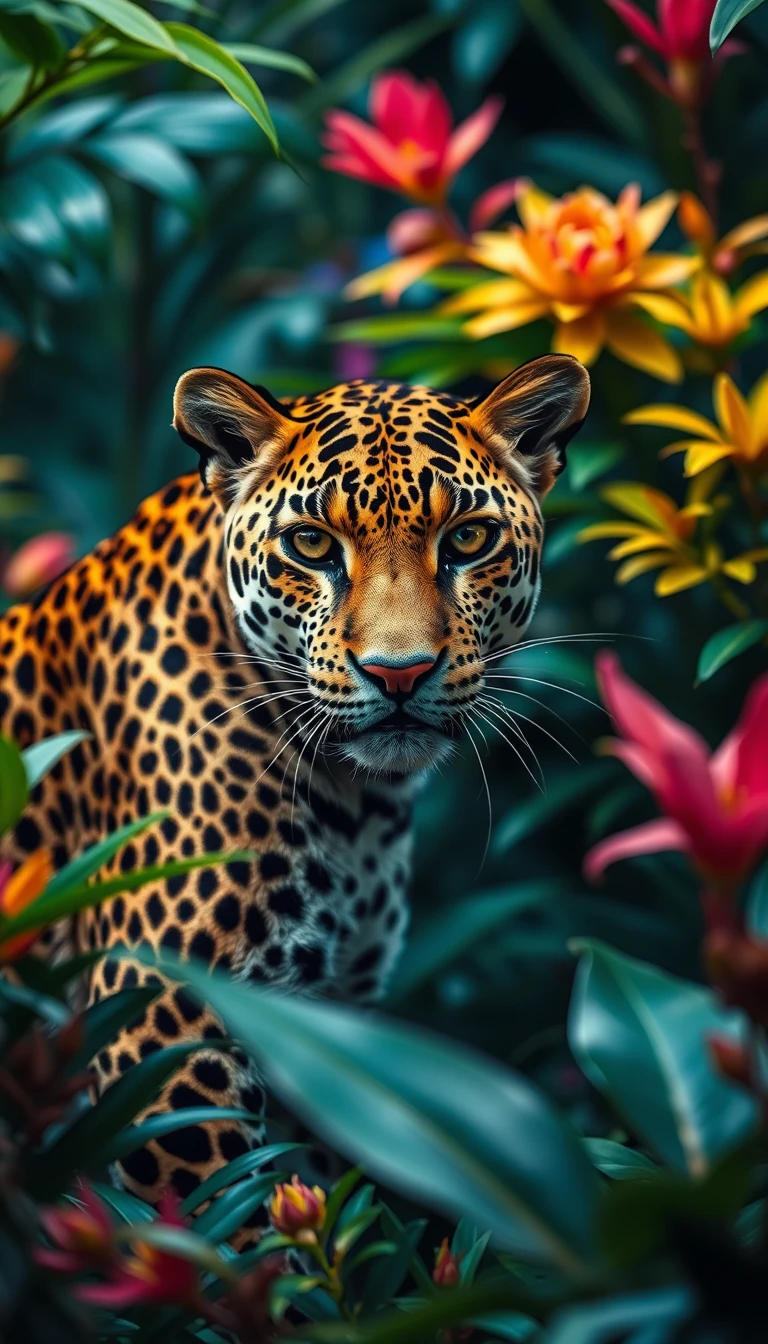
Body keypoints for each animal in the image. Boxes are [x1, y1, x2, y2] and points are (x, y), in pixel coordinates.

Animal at [0, 353, 589, 1219]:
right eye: (311, 544)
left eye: (468, 538)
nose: (399, 673)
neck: (354, 806)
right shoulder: (162, 1034)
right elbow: (227, 1230)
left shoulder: (329, 1028)